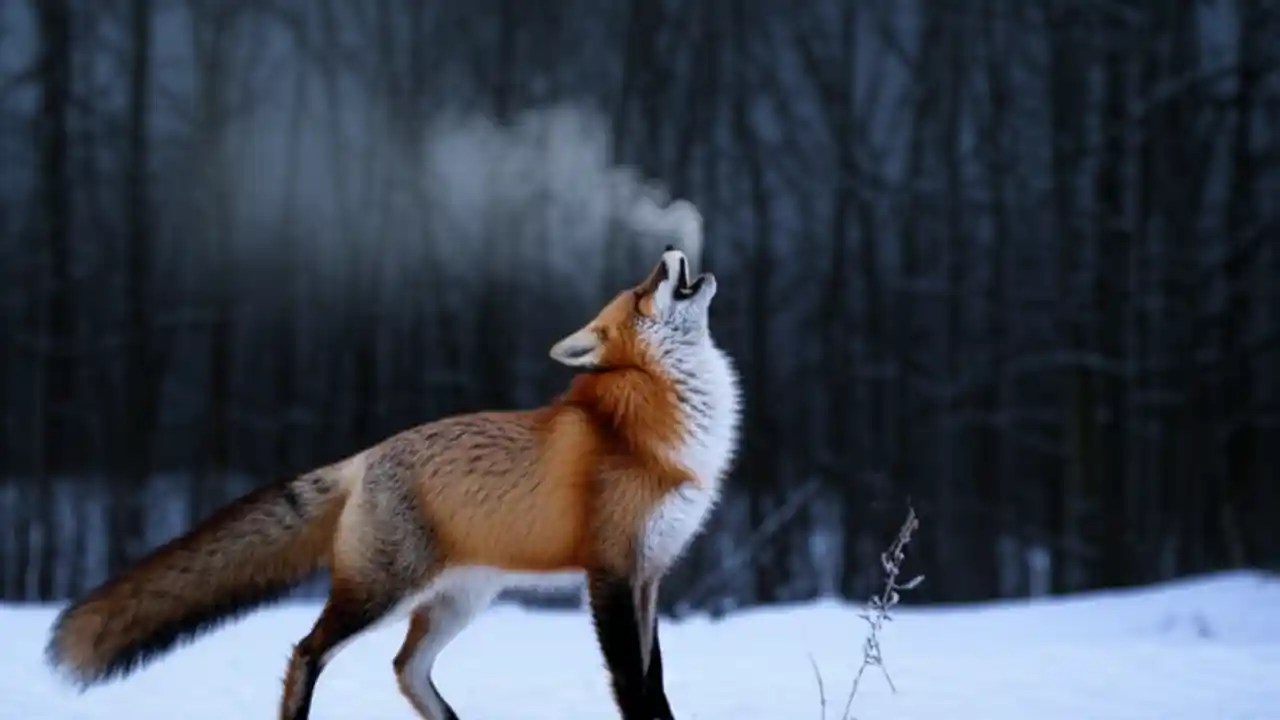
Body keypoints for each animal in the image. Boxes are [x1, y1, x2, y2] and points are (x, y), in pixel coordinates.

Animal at [46, 247, 741, 720]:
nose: (669, 249)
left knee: (405, 668)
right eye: (645, 289)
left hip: (455, 602)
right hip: (381, 590)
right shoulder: (611, 574)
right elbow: (631, 685)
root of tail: (364, 456)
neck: (662, 420)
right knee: (307, 651)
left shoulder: (650, 574)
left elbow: (656, 680)